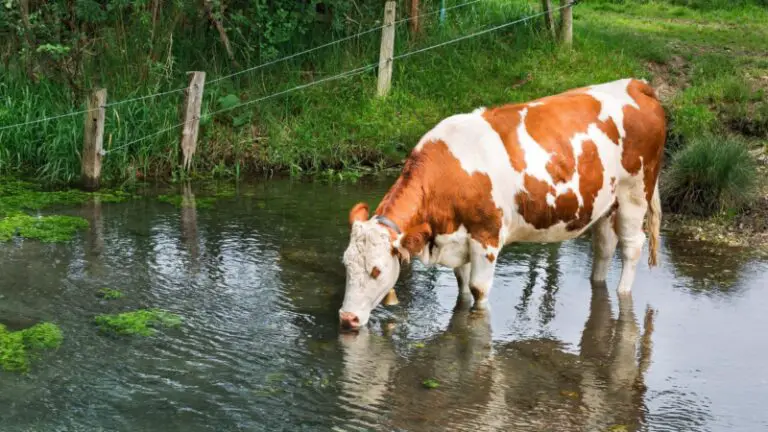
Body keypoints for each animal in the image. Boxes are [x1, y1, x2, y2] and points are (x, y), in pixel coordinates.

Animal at [339, 78, 666, 331]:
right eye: (346, 265)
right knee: (605, 246)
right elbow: (462, 286)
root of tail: (635, 84)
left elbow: (478, 291)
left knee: (631, 246)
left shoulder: (487, 237)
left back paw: (623, 292)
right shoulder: (459, 239)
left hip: (635, 192)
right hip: (607, 203)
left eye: (377, 270)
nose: (347, 318)